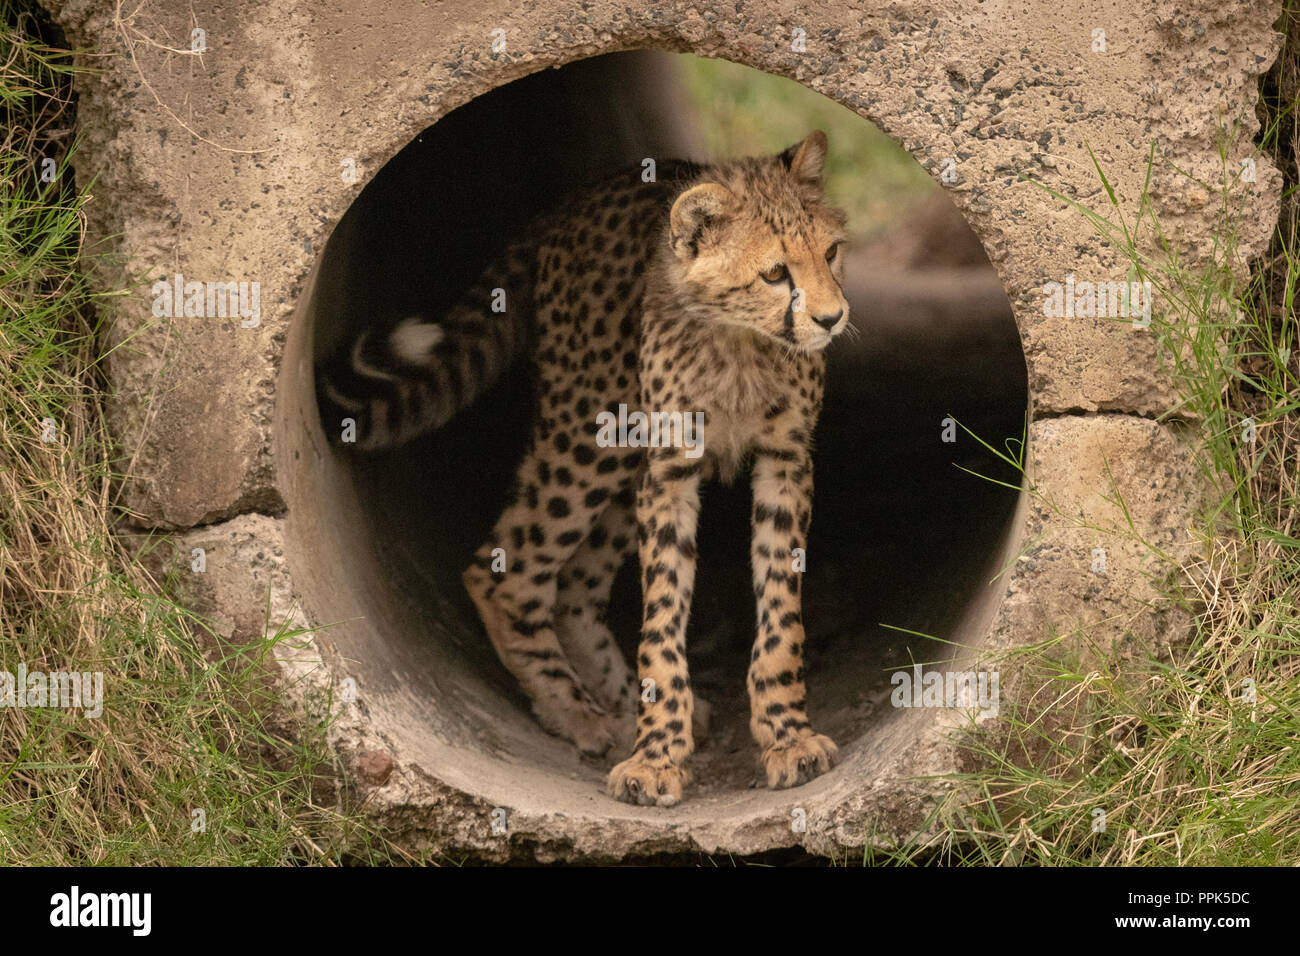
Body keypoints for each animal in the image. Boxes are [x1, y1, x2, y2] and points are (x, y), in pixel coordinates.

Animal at [318, 131, 851, 806]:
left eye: (831, 253)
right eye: (776, 273)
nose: (832, 318)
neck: (740, 341)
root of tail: (568, 205)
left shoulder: (785, 462)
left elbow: (781, 616)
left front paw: (787, 738)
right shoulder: (669, 473)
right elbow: (662, 618)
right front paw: (656, 757)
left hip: (621, 466)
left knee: (573, 586)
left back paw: (622, 708)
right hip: (594, 441)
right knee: (506, 571)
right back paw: (579, 713)